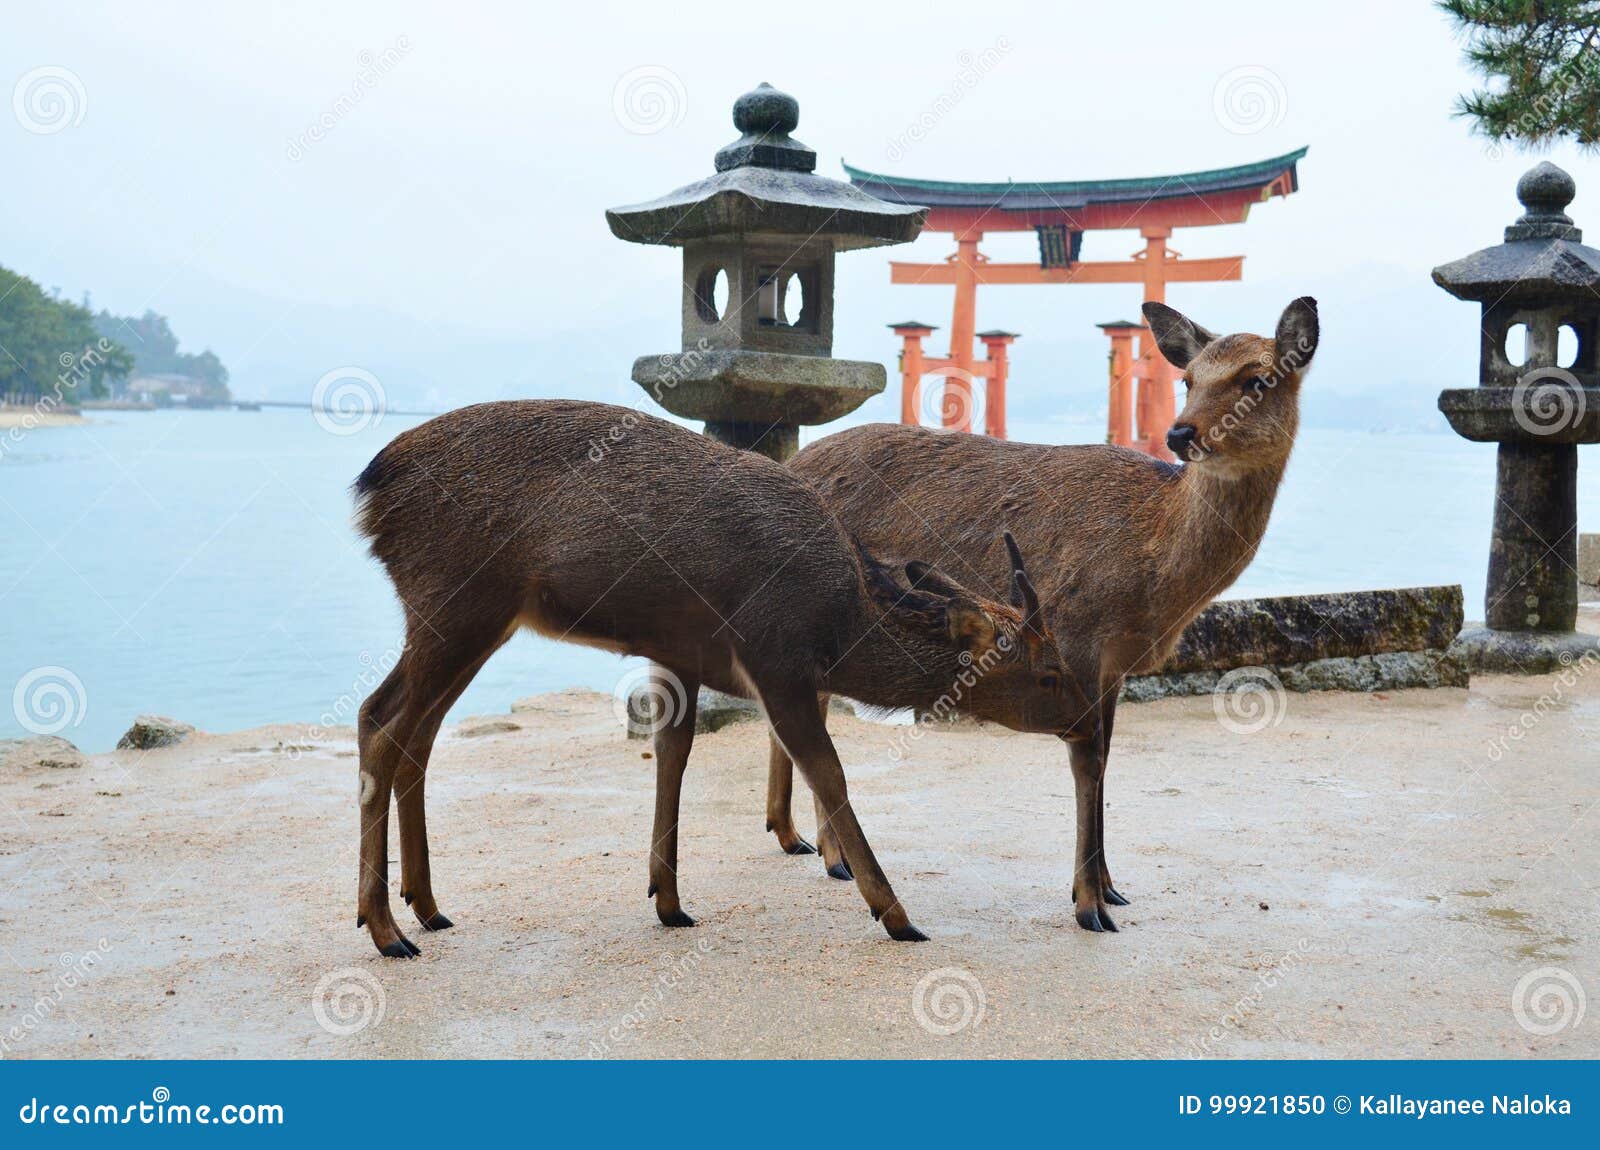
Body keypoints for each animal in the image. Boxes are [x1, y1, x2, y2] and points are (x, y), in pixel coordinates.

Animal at [350, 399, 1096, 957]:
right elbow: (828, 771)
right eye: (1048, 672)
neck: (839, 623)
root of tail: (370, 488)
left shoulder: (680, 653)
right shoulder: (775, 656)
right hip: (455, 602)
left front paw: (669, 900)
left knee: (418, 733)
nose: (1091, 721)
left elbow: (673, 756)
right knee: (378, 720)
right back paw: (385, 930)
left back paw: (428, 907)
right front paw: (896, 912)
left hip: (475, 620)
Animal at [765, 298, 1320, 932]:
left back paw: (804, 842)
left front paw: (1113, 888)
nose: (1181, 432)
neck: (1155, 574)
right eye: (1189, 379)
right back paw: (821, 850)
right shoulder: (1075, 637)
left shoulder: (1114, 666)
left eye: (1258, 379)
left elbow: (1106, 755)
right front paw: (1090, 905)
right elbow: (1088, 760)